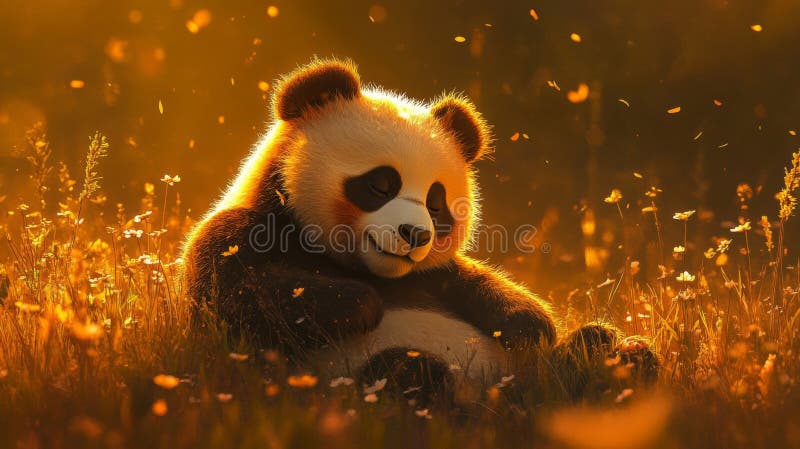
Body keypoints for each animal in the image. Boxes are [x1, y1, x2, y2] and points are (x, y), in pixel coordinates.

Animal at [183, 59, 656, 405]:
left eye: (436, 201)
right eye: (380, 184)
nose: (416, 235)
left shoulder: (433, 273)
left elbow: (480, 283)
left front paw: (529, 324)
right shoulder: (242, 232)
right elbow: (241, 294)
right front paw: (362, 305)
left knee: (587, 353)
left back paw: (618, 358)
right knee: (405, 373)